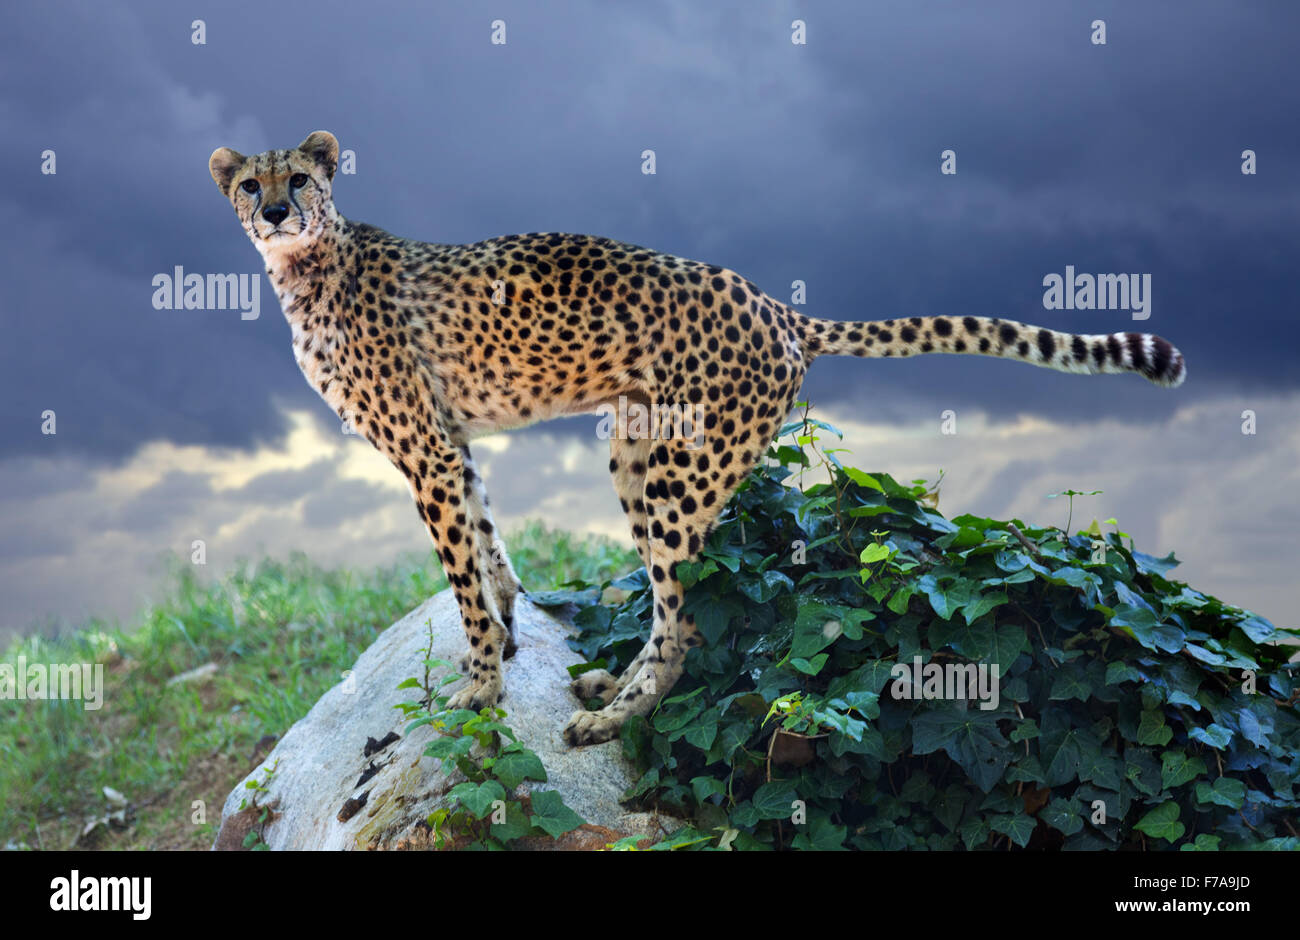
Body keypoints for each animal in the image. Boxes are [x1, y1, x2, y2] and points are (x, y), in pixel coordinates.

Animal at [209, 131, 1186, 746]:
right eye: (251, 184)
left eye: (299, 179)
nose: (274, 211)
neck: (306, 269)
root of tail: (780, 305)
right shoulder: (453, 444)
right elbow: (488, 545)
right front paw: (512, 634)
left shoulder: (425, 451)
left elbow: (461, 579)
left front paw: (481, 685)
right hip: (638, 450)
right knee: (668, 604)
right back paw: (610, 686)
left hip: (682, 471)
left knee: (683, 621)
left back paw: (615, 718)